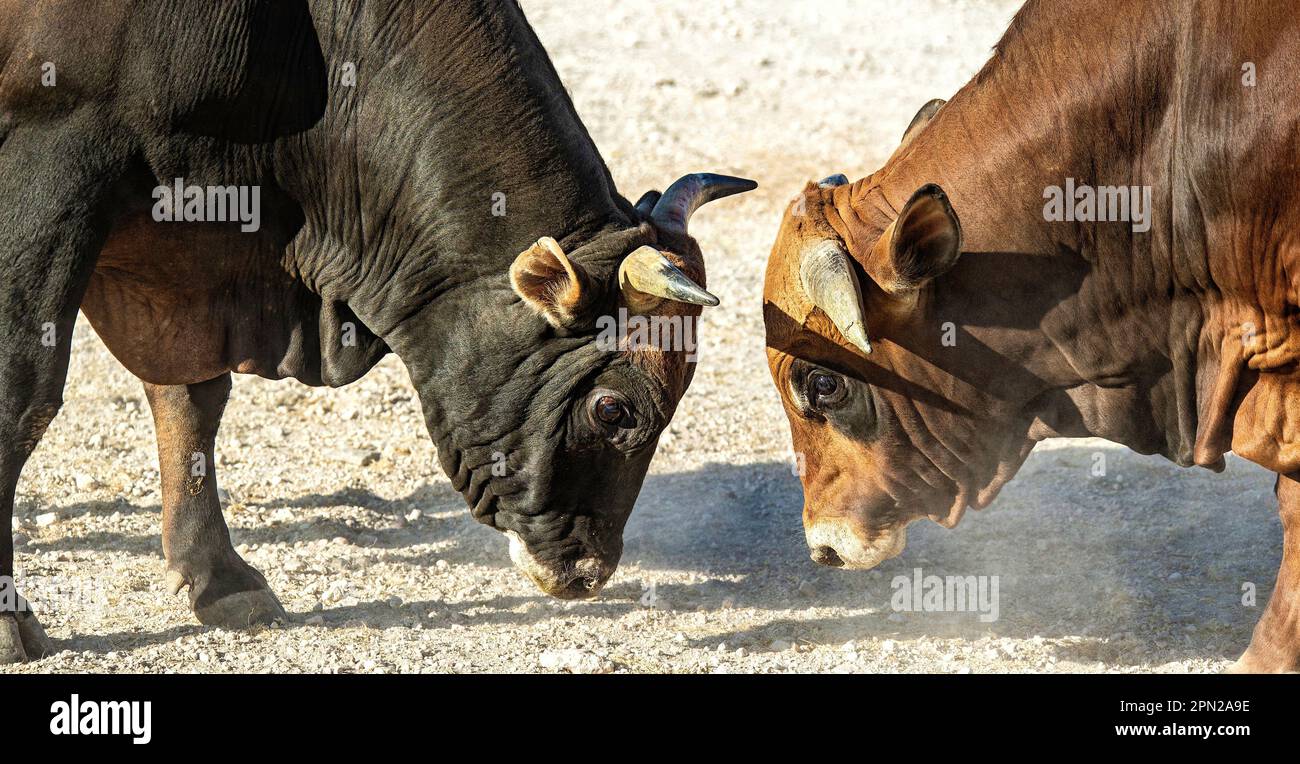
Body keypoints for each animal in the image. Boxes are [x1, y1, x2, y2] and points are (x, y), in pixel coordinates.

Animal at [0, 0, 754, 663]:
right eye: (613, 409)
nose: (588, 570)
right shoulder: (52, 162)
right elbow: (23, 394)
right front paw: (11, 623)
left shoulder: (193, 261)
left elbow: (192, 400)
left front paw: (219, 577)